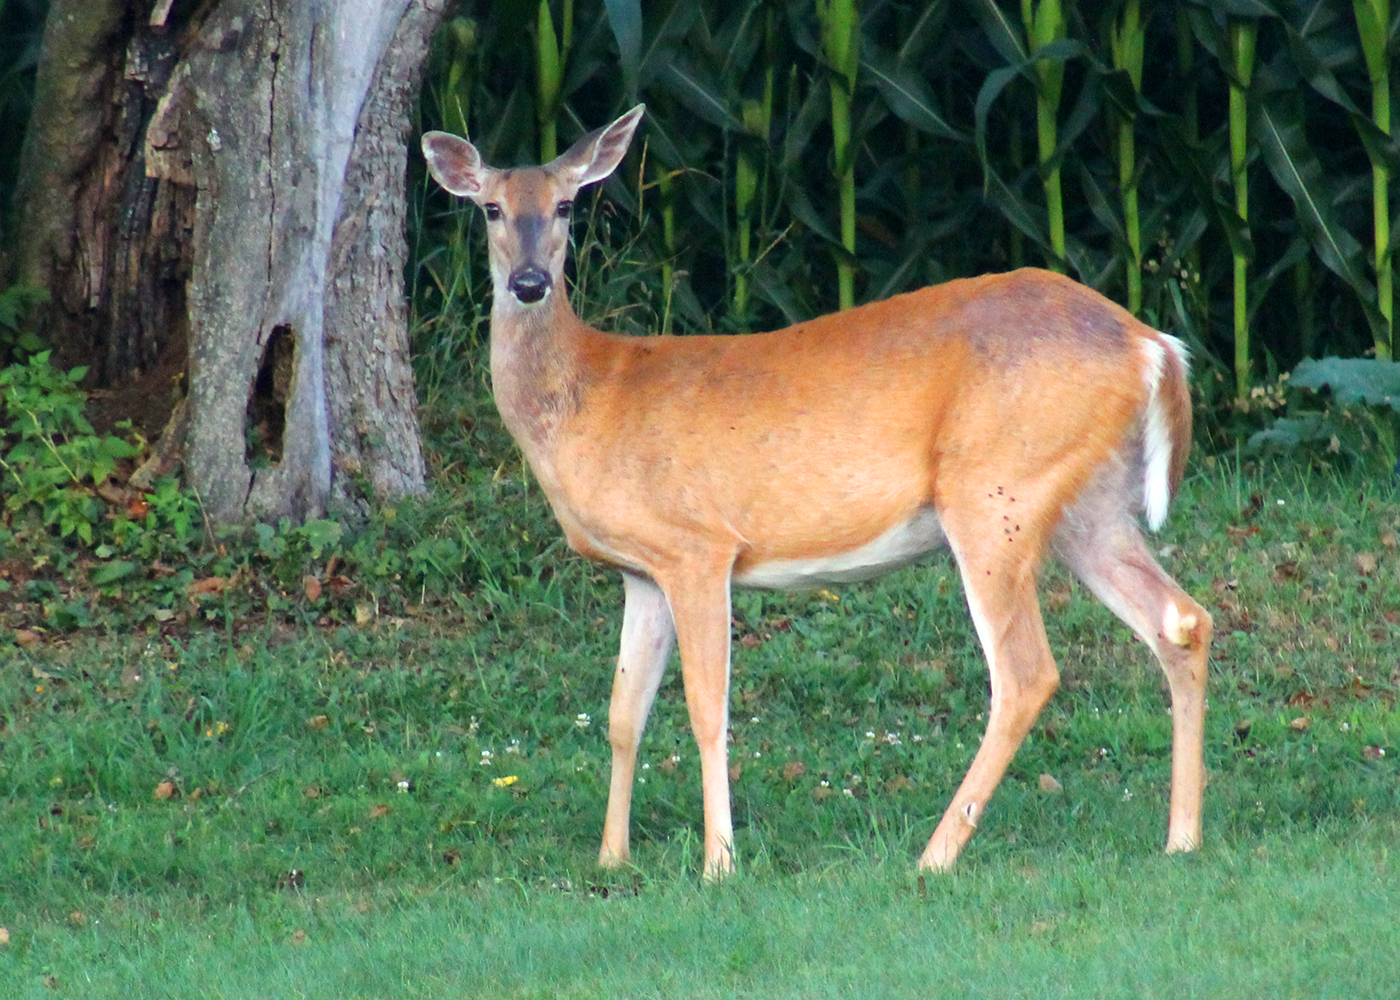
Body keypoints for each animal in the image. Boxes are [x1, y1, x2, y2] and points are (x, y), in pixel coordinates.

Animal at [421, 104, 1212, 879]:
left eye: (565, 206)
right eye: (491, 207)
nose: (529, 283)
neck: (591, 397)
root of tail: (1152, 346)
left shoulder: (697, 546)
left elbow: (707, 707)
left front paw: (719, 863)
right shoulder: (640, 571)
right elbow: (624, 712)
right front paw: (612, 860)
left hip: (995, 492)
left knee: (1026, 674)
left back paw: (934, 856)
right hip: (1085, 502)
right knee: (1182, 620)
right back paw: (1181, 838)